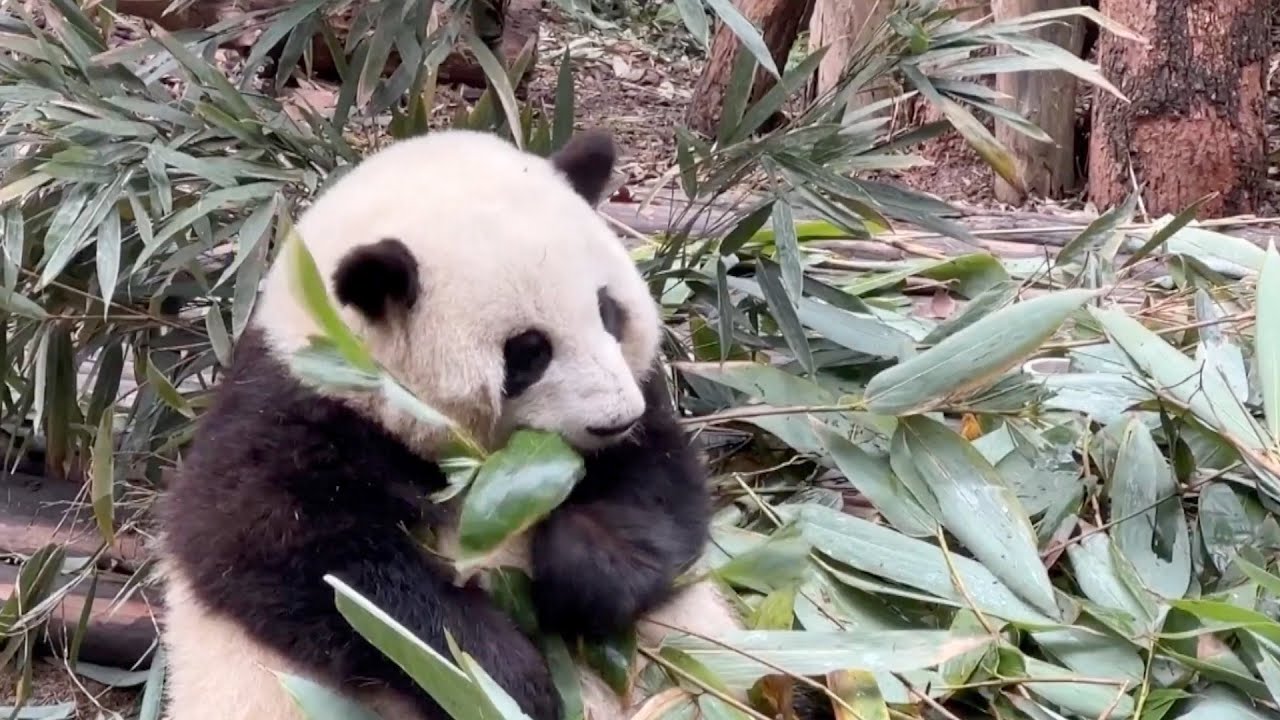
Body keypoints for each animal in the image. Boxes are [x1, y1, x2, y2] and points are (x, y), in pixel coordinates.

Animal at [155, 129, 775, 720]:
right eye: (528, 351)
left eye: (608, 311)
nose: (615, 420)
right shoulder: (289, 412)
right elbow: (297, 561)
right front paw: (504, 678)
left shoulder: (643, 404)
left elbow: (663, 488)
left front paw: (582, 570)